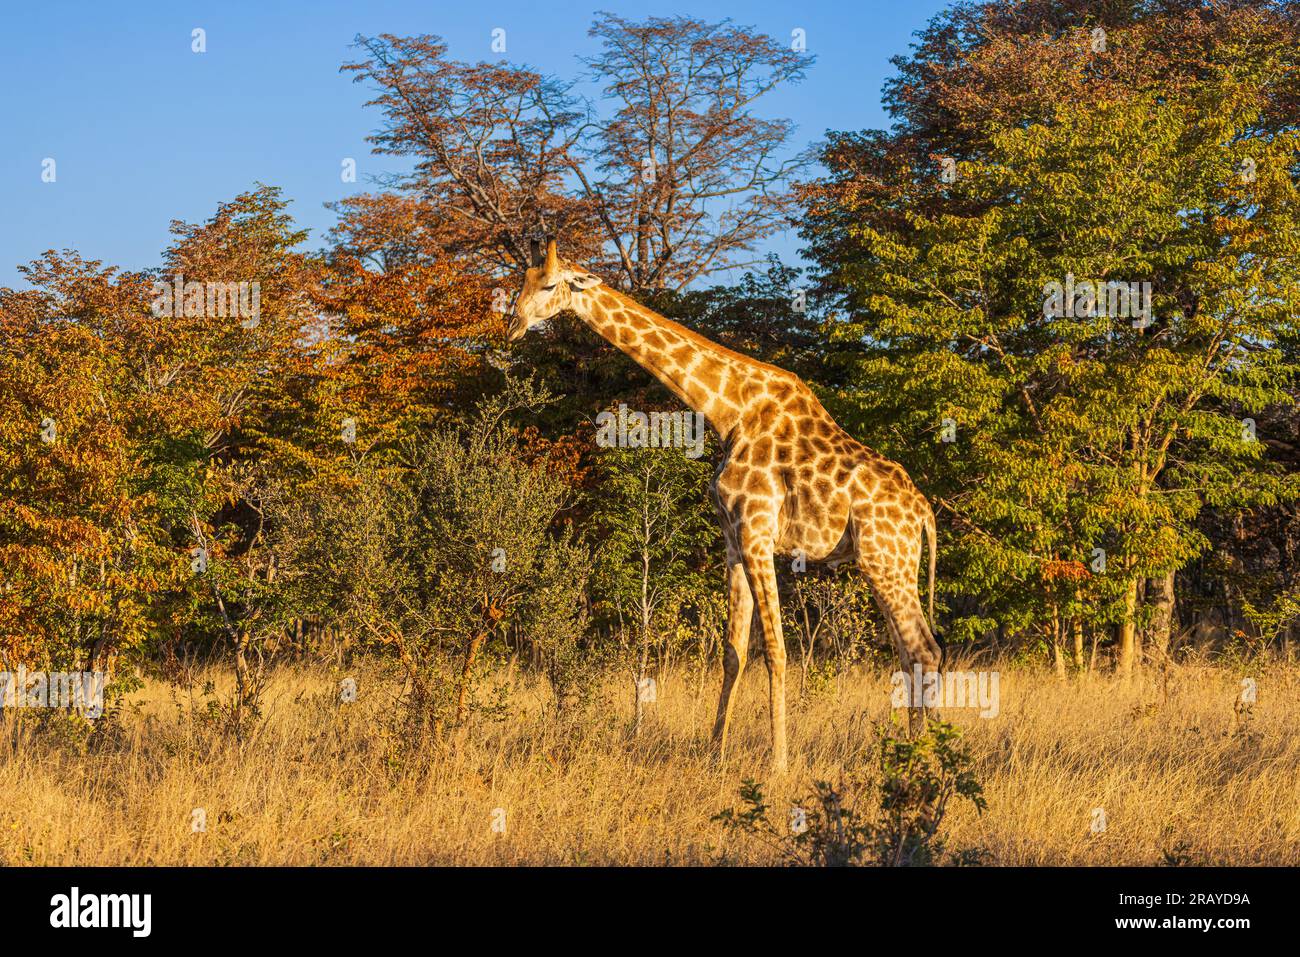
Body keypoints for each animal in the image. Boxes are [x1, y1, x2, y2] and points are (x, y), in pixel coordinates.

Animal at [508, 238, 942, 771]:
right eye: (522, 281)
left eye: (550, 284)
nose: (512, 324)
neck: (726, 410)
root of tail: (923, 513)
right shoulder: (734, 539)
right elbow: (733, 649)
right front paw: (715, 753)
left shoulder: (758, 533)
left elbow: (775, 649)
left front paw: (778, 764)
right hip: (887, 563)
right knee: (909, 651)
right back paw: (912, 751)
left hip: (886, 560)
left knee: (924, 649)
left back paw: (925, 758)